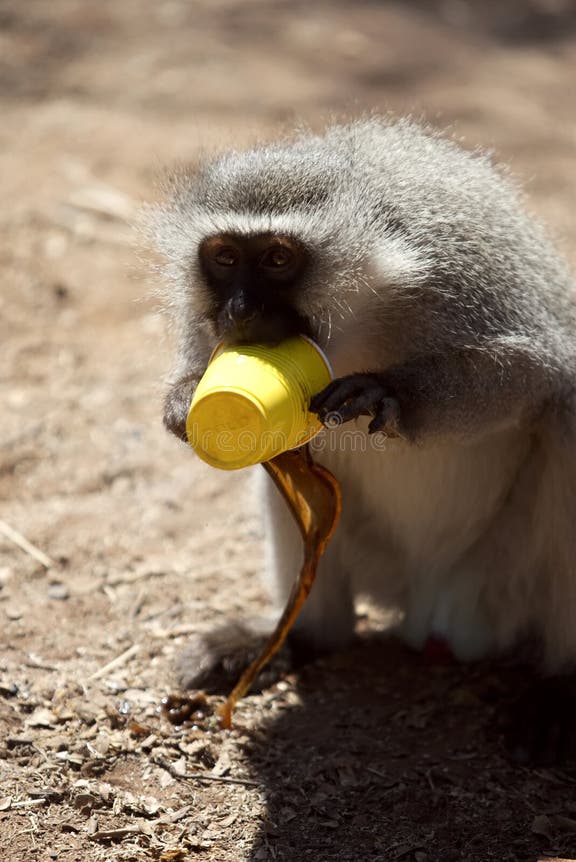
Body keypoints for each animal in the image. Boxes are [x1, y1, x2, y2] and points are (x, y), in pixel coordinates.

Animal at [149, 117, 576, 764]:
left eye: (278, 258)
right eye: (223, 257)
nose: (239, 311)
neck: (354, 319)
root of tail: (434, 607)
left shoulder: (460, 275)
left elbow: (536, 373)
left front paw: (389, 393)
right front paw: (182, 398)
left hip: (507, 579)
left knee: (569, 409)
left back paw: (561, 686)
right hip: (383, 563)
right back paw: (301, 636)